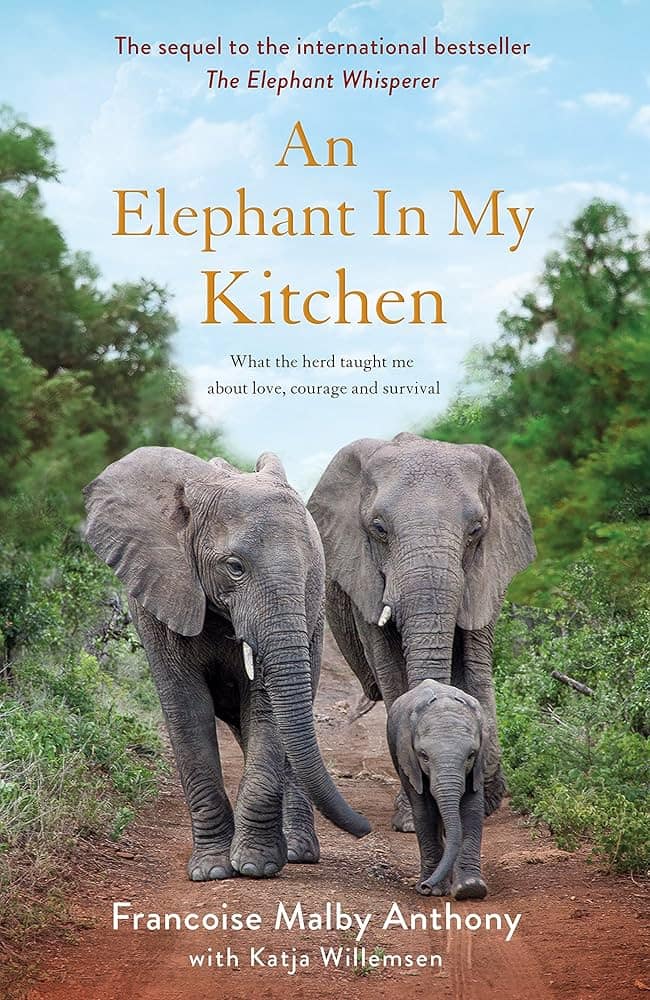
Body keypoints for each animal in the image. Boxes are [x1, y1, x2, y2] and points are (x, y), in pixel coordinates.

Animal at [83, 446, 370, 882]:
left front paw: (255, 865)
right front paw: (211, 871)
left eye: (309, 573)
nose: (366, 828)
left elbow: (266, 708)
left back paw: (298, 852)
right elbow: (187, 711)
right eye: (235, 567)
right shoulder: (158, 592)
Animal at [308, 432, 535, 829]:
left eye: (476, 530)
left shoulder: (486, 573)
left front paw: (485, 802)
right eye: (379, 528)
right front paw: (412, 820)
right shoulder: (365, 581)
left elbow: (476, 670)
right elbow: (392, 673)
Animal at [387, 680, 487, 899]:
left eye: (471, 755)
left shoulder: (478, 766)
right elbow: (425, 812)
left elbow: (472, 810)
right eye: (424, 756)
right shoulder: (408, 759)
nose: (425, 886)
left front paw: (470, 888)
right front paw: (434, 891)